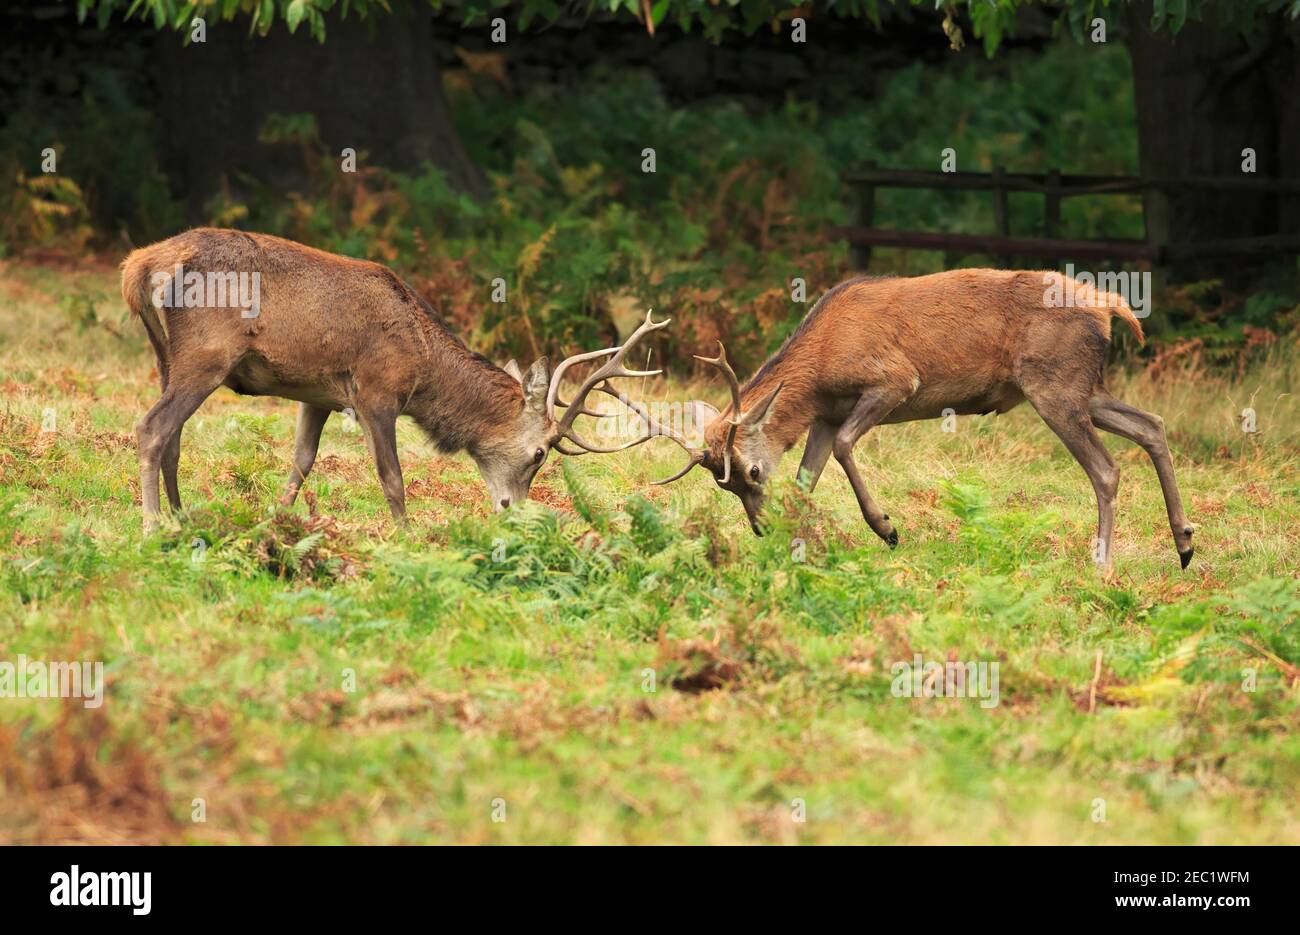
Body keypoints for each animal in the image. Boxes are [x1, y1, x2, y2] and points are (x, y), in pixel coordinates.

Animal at [121, 228, 663, 531]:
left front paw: (277, 522)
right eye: (539, 454)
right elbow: (392, 477)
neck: (423, 366)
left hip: (167, 355)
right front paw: (407, 537)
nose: (512, 509)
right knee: (152, 428)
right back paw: (151, 525)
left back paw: (179, 514)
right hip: (207, 354)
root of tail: (141, 263)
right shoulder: (376, 392)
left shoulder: (317, 395)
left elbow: (301, 462)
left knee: (172, 436)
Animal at [623, 269, 1196, 573]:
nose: (760, 528)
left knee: (1106, 468)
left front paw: (887, 528)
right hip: (1084, 386)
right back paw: (1185, 543)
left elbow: (846, 447)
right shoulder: (824, 414)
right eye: (725, 486)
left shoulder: (894, 380)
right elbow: (808, 479)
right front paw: (798, 545)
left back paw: (1102, 561)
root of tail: (1111, 307)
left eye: (752, 472)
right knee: (1152, 424)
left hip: (1053, 384)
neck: (819, 367)